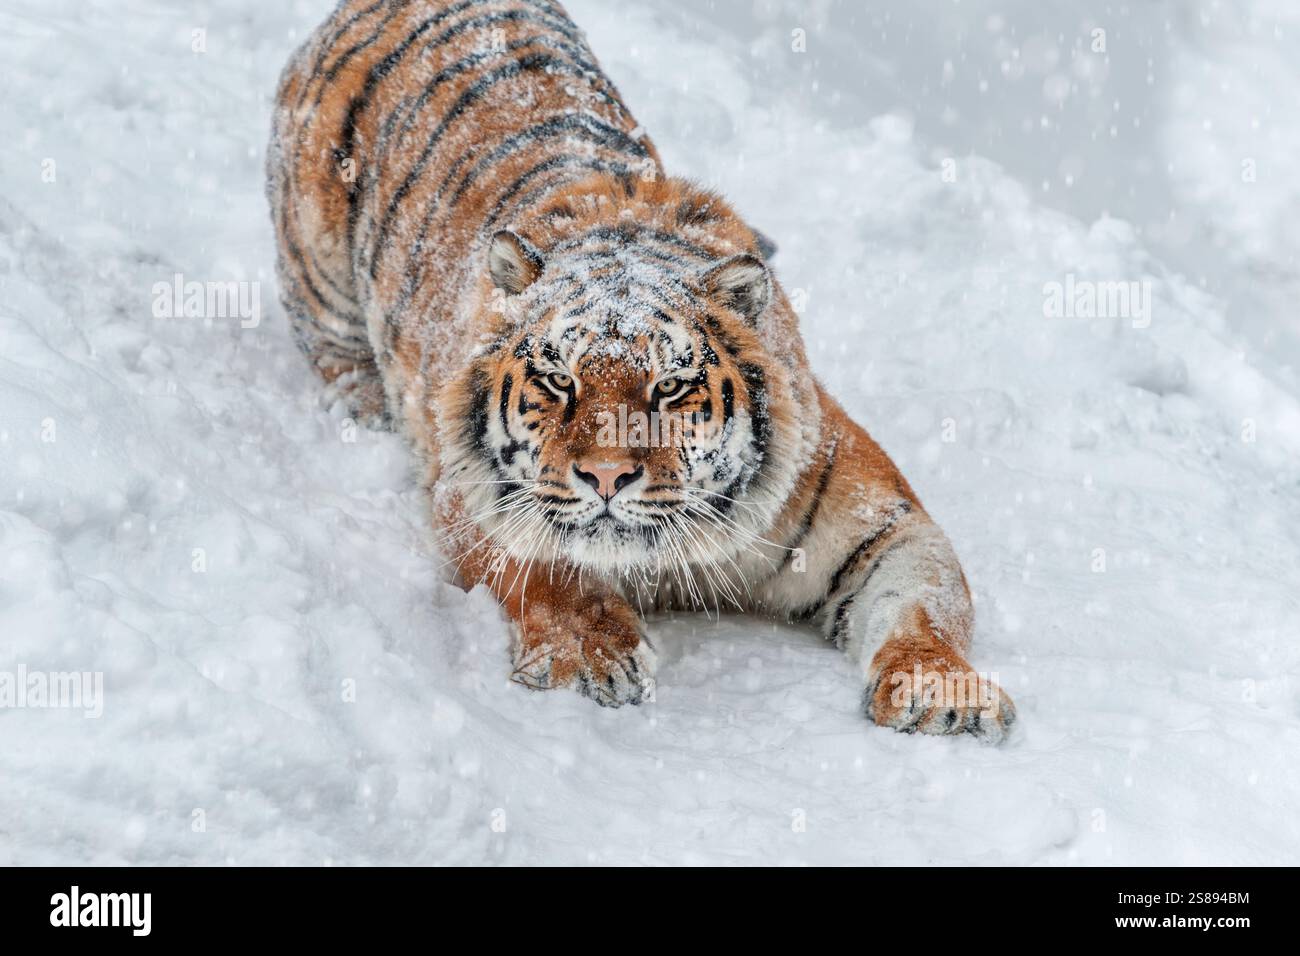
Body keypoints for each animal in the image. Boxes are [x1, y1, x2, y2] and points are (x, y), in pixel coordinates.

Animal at [267, 0, 1016, 740]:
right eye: (559, 380)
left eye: (670, 386)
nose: (606, 476)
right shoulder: (469, 489)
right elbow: (544, 566)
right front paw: (590, 655)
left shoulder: (880, 520)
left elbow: (925, 602)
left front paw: (940, 690)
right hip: (320, 266)